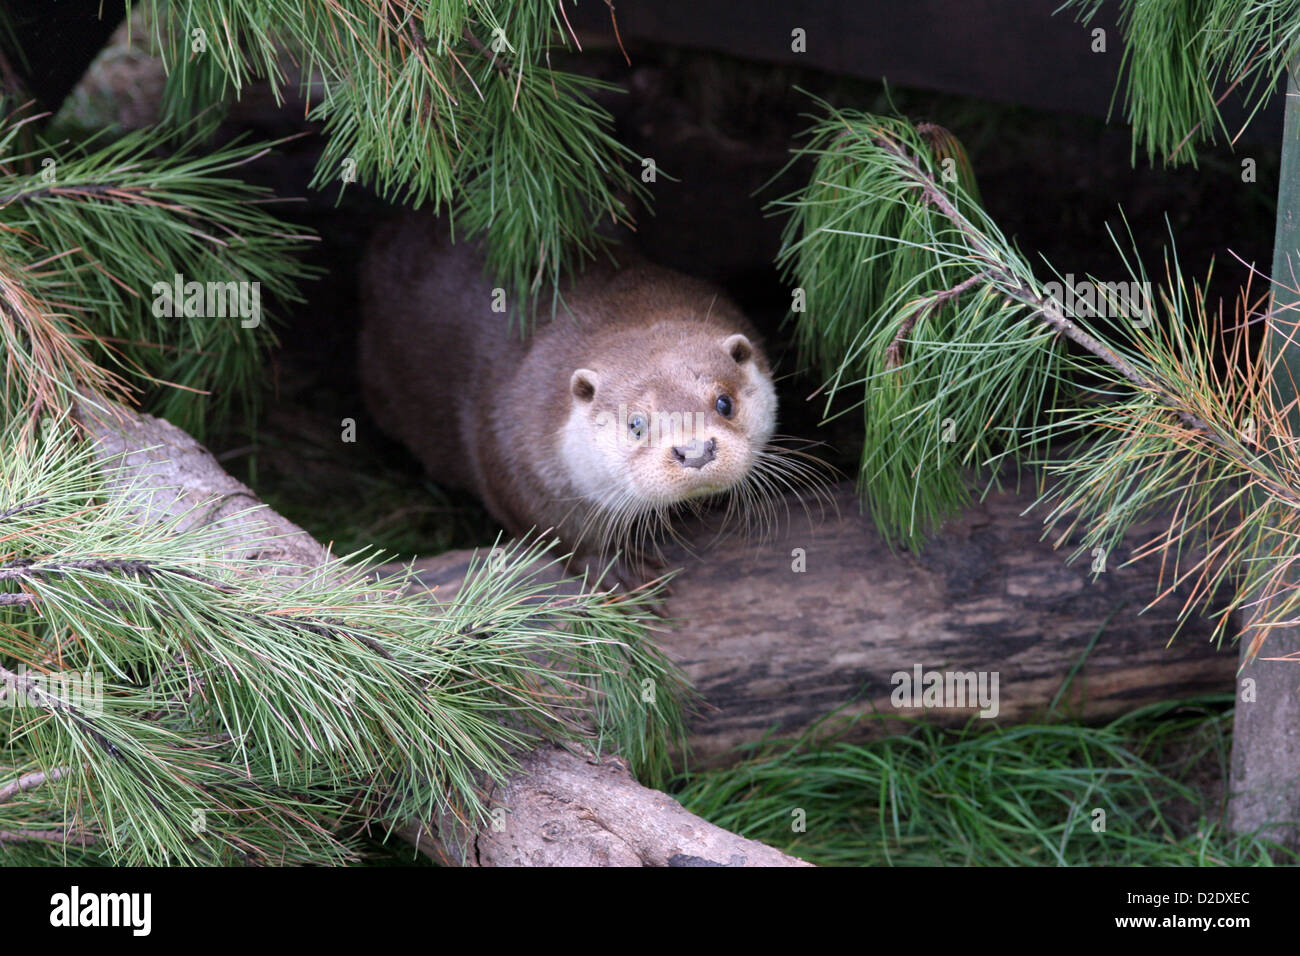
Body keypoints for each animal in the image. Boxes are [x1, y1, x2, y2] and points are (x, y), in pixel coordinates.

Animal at [358, 212, 787, 584]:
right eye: (636, 424)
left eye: (724, 404)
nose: (695, 452)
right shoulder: (519, 444)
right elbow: (552, 526)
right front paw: (615, 567)